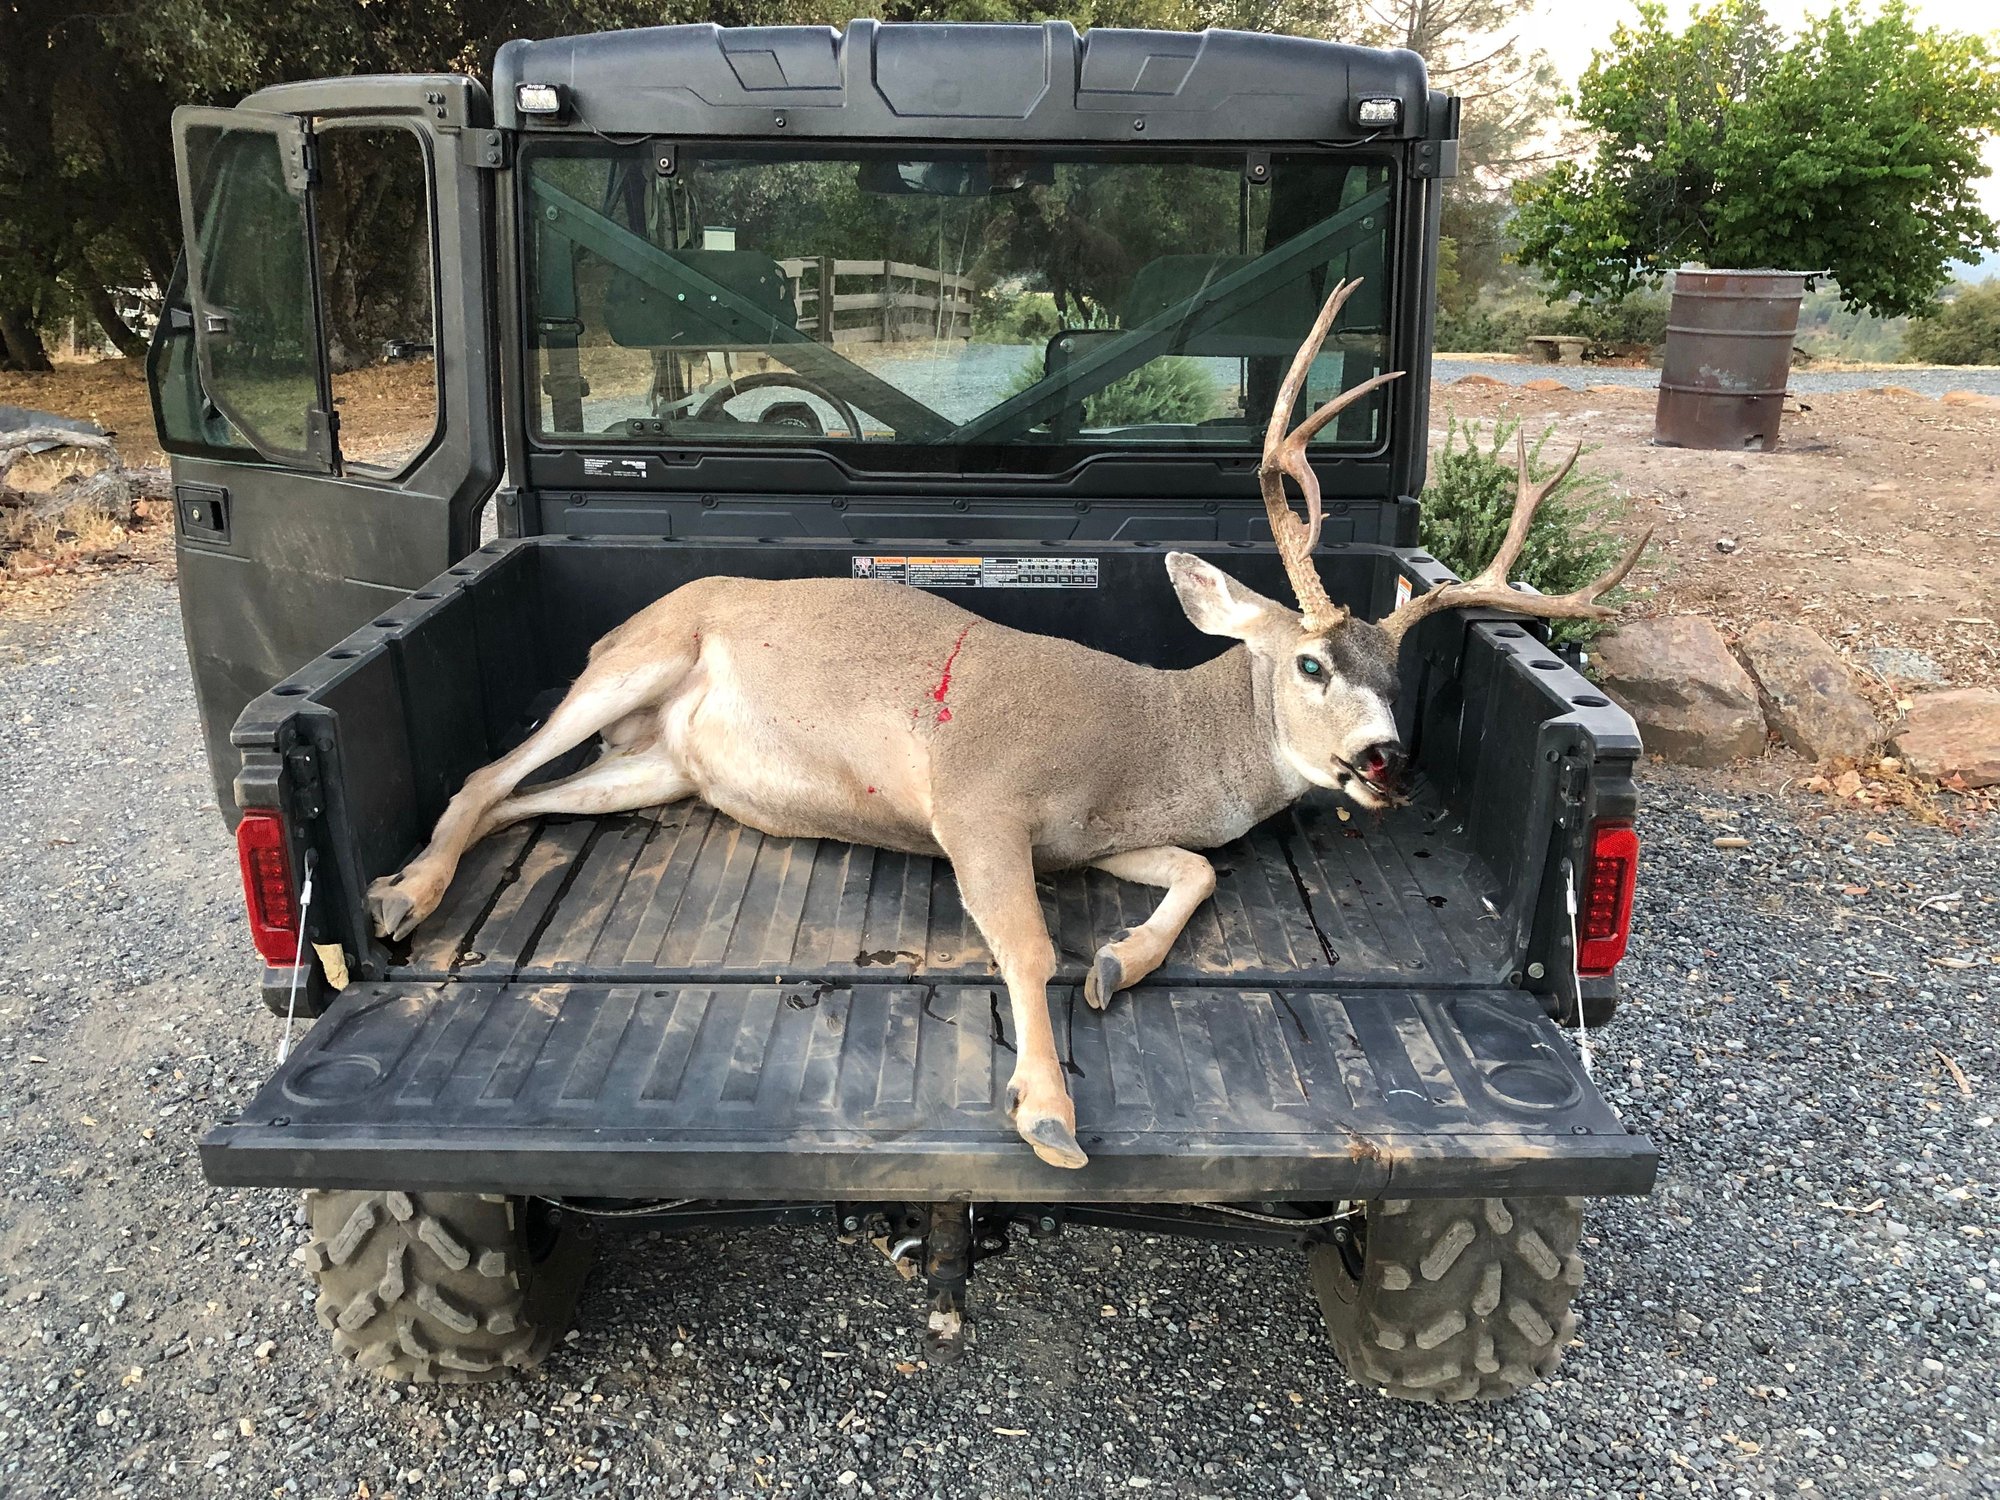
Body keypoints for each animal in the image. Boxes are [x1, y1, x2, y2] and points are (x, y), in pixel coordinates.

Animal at [364, 280, 1648, 1170]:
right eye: (1312, 661)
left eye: (1407, 678)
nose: (1385, 761)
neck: (1148, 741)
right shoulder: (977, 797)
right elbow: (1026, 948)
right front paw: (1048, 1109)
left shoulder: (1091, 839)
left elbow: (1194, 874)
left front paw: (1120, 963)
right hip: (634, 660)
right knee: (485, 771)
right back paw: (398, 897)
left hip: (663, 771)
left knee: (519, 797)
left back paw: (405, 888)